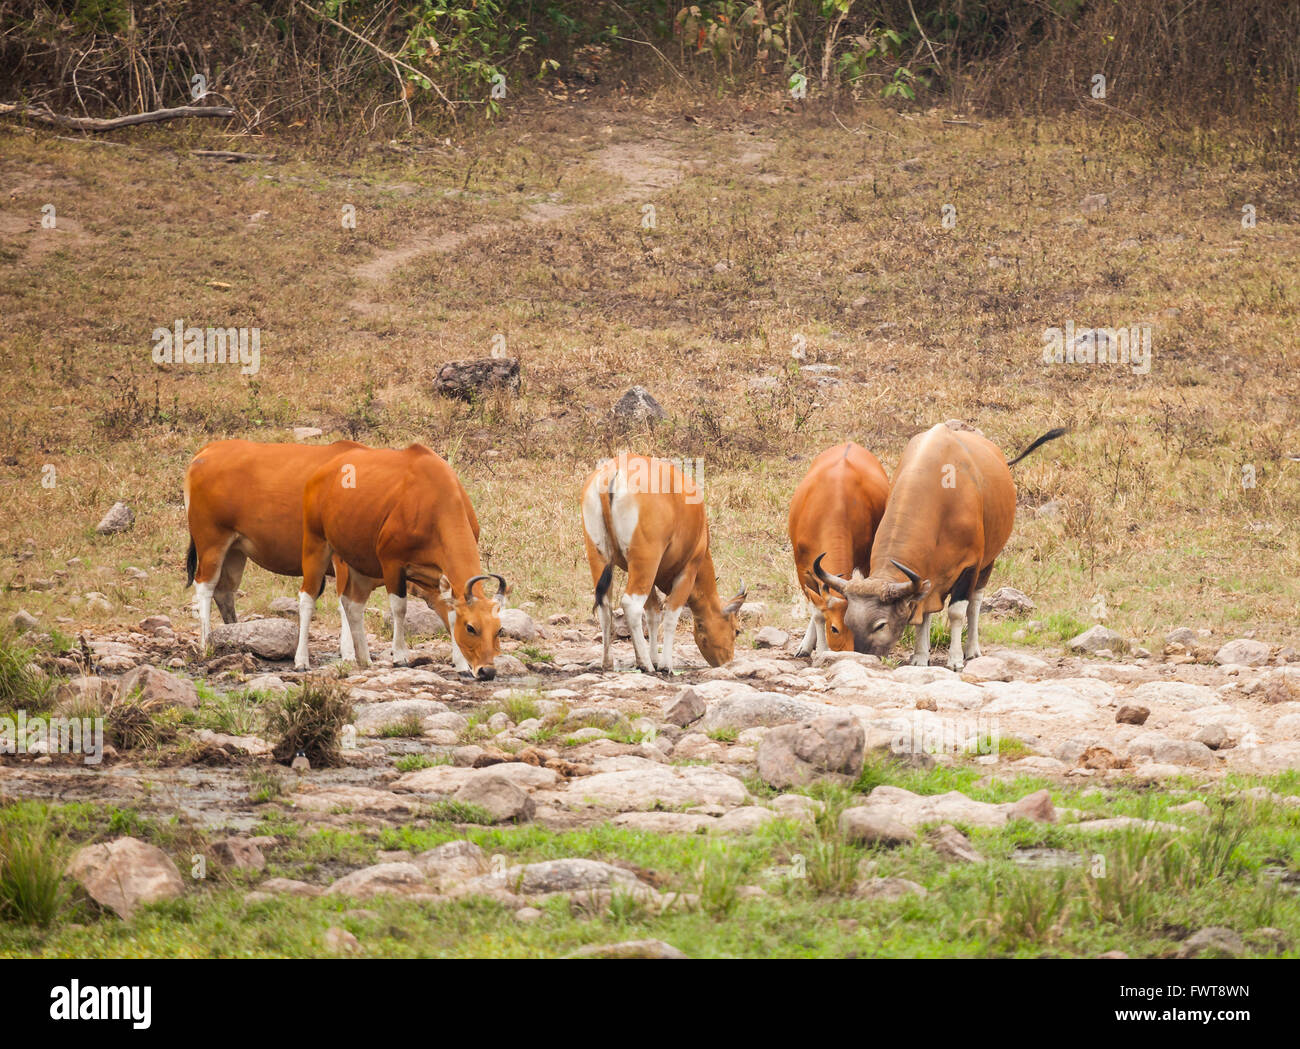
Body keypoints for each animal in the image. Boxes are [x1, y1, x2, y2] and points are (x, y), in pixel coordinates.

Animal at [184, 439, 366, 654]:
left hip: (235, 550)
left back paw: (233, 634)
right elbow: (345, 604)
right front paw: (349, 652)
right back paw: (205, 643)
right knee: (205, 585)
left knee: (225, 591)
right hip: (211, 541)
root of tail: (207, 450)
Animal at [294, 443, 504, 679]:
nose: (487, 670)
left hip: (360, 562)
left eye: (499, 630)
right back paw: (301, 661)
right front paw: (401, 656)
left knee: (352, 604)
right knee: (308, 598)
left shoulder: (441, 575)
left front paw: (461, 665)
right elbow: (399, 608)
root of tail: (321, 472)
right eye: (471, 628)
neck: (435, 501)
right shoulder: (392, 564)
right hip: (316, 544)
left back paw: (364, 658)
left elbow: (450, 614)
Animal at [581, 454, 745, 674]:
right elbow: (670, 615)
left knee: (604, 605)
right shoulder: (688, 570)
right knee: (631, 604)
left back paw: (608, 662)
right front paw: (665, 664)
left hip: (600, 556)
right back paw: (645, 664)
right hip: (646, 561)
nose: (727, 662)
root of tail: (612, 472)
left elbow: (653, 613)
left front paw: (655, 658)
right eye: (737, 631)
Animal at [788, 442, 890, 655]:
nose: (849, 654)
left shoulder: (864, 562)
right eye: (834, 628)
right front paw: (819, 649)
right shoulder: (802, 570)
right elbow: (818, 612)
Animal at [812, 424, 1065, 670]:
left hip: (988, 563)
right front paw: (920, 656)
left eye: (880, 625)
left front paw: (955, 659)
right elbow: (923, 614)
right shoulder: (927, 576)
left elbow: (956, 612)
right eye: (847, 623)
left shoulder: (970, 566)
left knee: (975, 603)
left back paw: (972, 649)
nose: (862, 655)